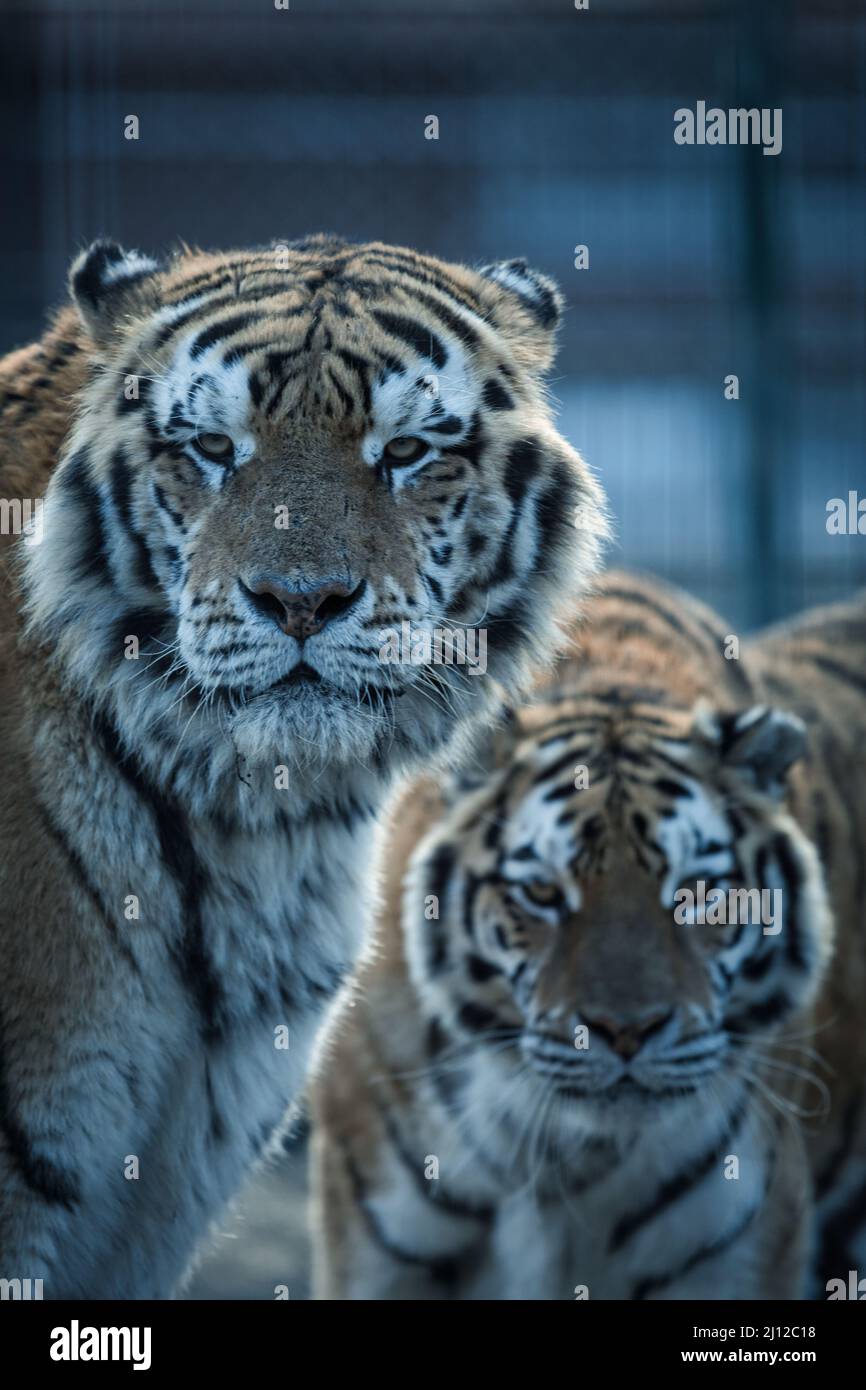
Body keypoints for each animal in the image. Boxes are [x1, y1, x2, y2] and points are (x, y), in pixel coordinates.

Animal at [309, 570, 866, 1301]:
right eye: (544, 893)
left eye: (696, 893)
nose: (626, 1032)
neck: (562, 1155)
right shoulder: (378, 1254)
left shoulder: (737, 1254)